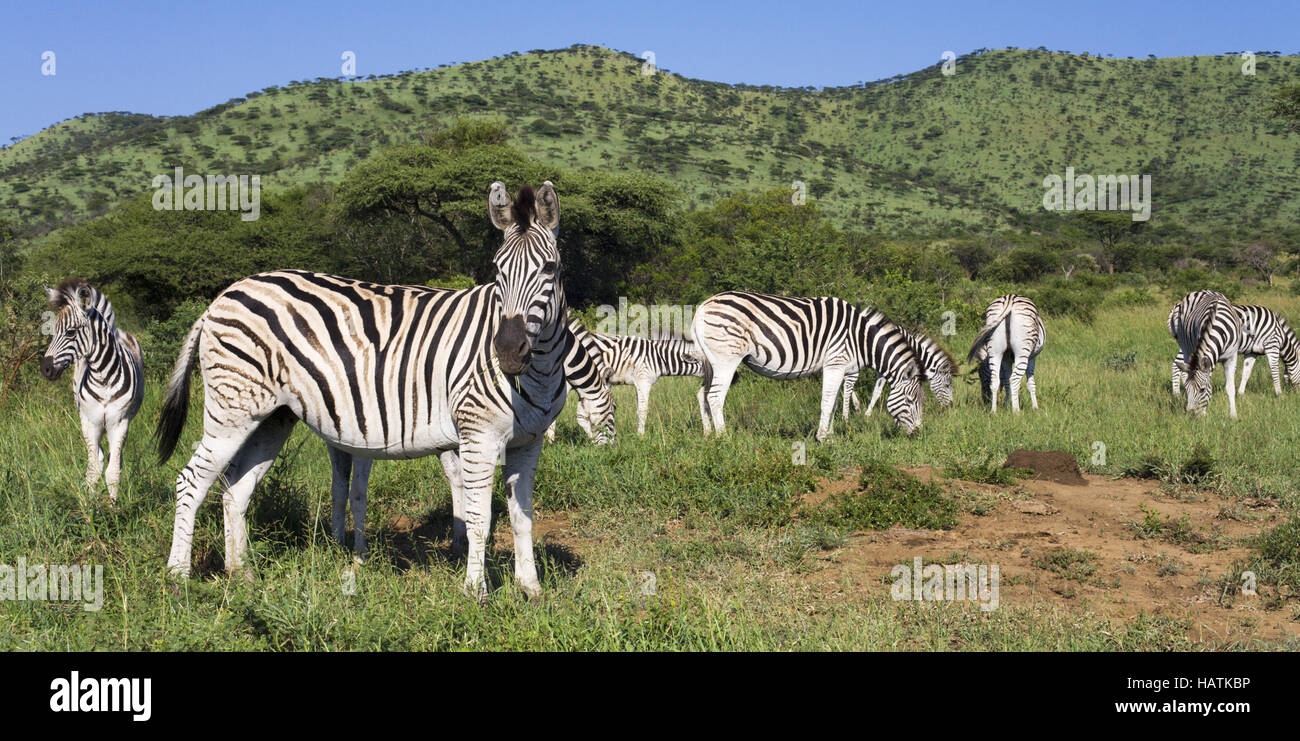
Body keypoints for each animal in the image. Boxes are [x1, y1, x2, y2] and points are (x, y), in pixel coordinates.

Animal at [39, 279, 144, 502]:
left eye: (70, 332)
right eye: (52, 332)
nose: (45, 369)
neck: (103, 377)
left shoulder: (119, 422)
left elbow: (113, 472)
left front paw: (113, 507)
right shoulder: (90, 421)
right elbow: (93, 468)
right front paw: (89, 505)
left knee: (114, 459)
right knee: (100, 457)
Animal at [156, 181, 568, 600]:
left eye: (550, 269)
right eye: (498, 271)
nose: (507, 352)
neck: (539, 371)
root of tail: (223, 296)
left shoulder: (528, 442)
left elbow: (523, 517)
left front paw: (531, 589)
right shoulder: (478, 436)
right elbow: (479, 518)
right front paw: (475, 593)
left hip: (271, 418)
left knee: (234, 489)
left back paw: (242, 575)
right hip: (232, 409)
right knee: (191, 481)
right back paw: (177, 578)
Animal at [691, 291, 923, 440]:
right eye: (911, 400)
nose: (918, 434)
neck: (861, 338)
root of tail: (703, 305)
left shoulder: (840, 368)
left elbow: (835, 403)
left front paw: (830, 435)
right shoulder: (835, 363)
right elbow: (827, 403)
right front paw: (822, 438)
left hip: (712, 362)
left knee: (703, 394)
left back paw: (708, 434)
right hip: (726, 359)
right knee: (715, 397)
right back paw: (724, 437)